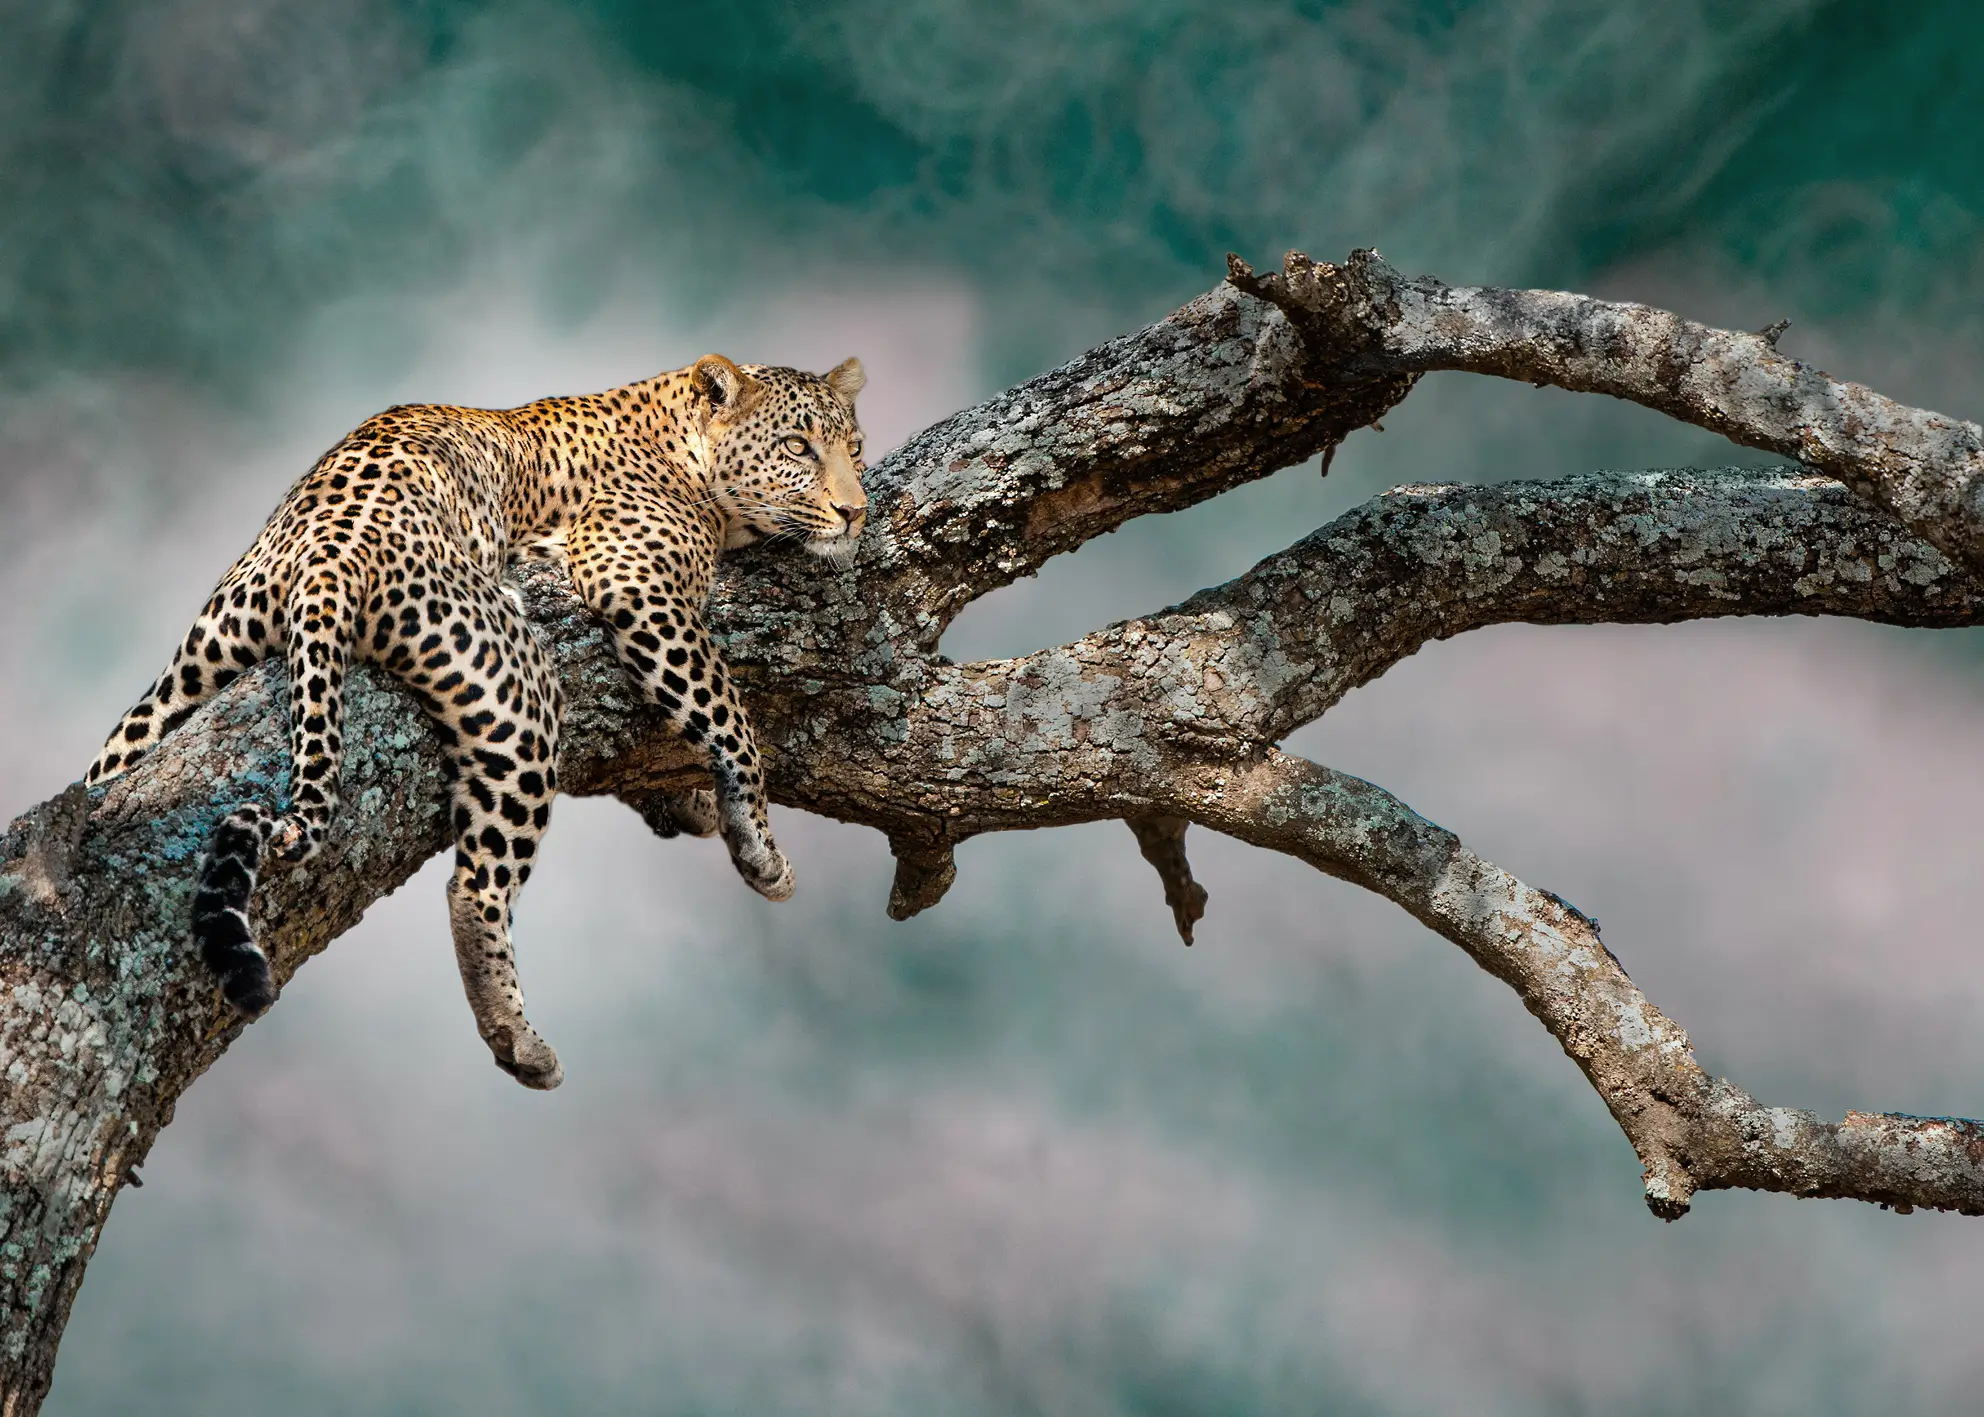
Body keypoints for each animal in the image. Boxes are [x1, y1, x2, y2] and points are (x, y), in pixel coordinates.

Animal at [85, 353, 868, 1090]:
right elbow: (728, 712)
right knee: (476, 885)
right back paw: (518, 1040)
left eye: (854, 447)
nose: (856, 512)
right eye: (798, 447)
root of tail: (329, 554)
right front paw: (757, 843)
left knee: (110, 764)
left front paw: (695, 803)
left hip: (190, 673)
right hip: (520, 691)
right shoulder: (639, 585)